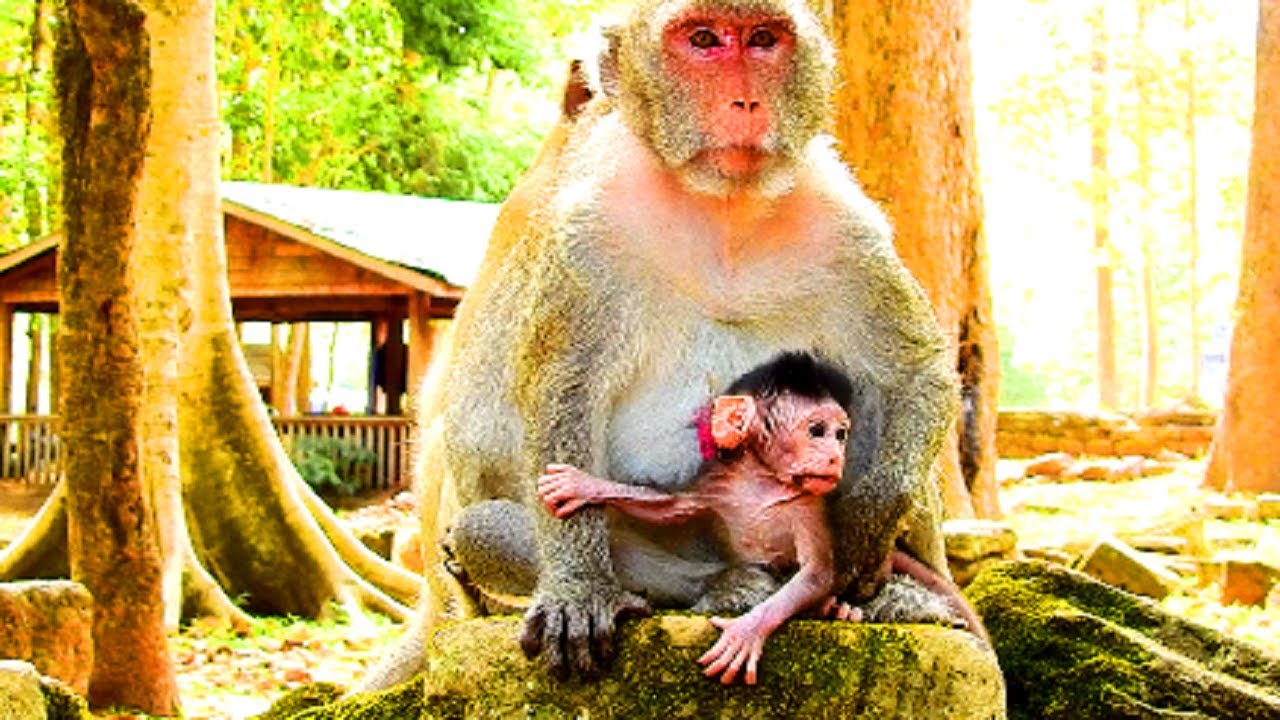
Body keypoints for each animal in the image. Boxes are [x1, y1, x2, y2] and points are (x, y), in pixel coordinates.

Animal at [361, 0, 968, 689]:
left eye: (763, 39)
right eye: (702, 39)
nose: (744, 100)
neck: (724, 210)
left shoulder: (846, 223)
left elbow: (914, 373)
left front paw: (866, 522)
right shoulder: (586, 232)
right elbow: (562, 393)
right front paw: (579, 587)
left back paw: (895, 595)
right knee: (486, 530)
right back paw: (731, 587)